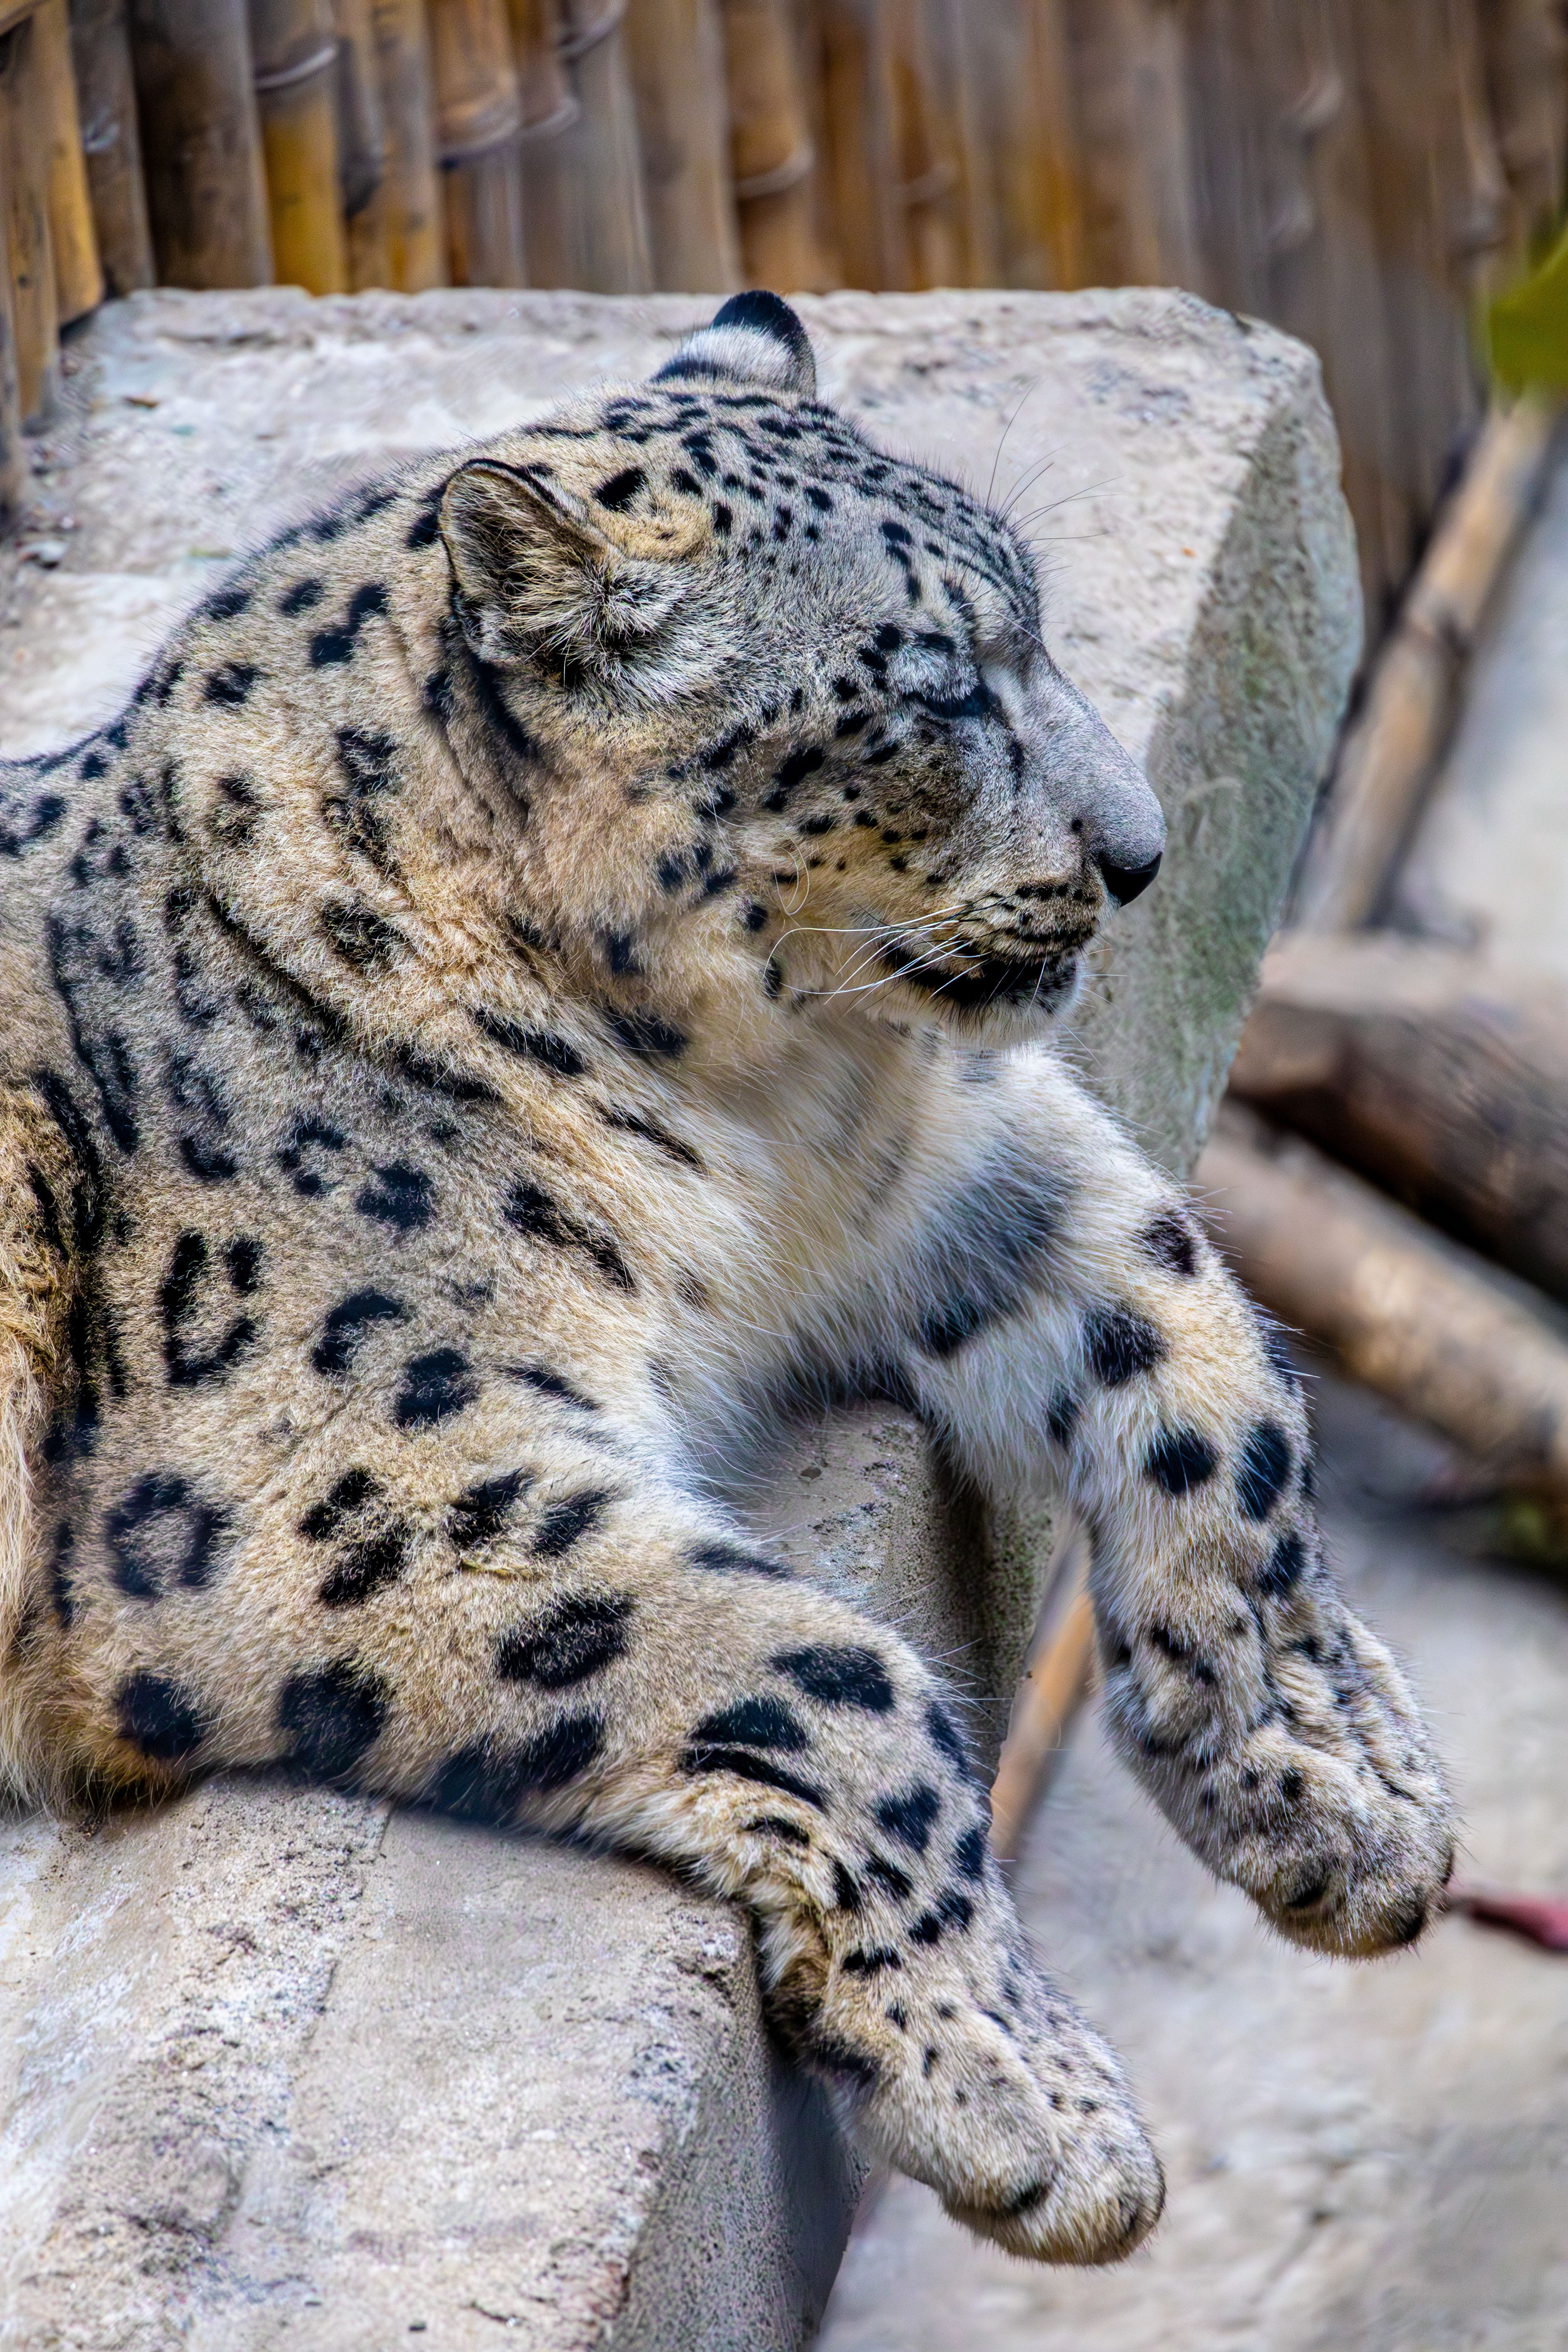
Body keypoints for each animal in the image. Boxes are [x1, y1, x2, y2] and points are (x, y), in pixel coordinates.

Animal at [0, 290, 1453, 2268]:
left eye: (1033, 634)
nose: (1142, 853)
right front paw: (1026, 2093)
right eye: (931, 688)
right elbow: (830, 1668)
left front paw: (1330, 1775)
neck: (761, 1117)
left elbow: (1208, 1360)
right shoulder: (339, 1479)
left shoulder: (943, 1167)